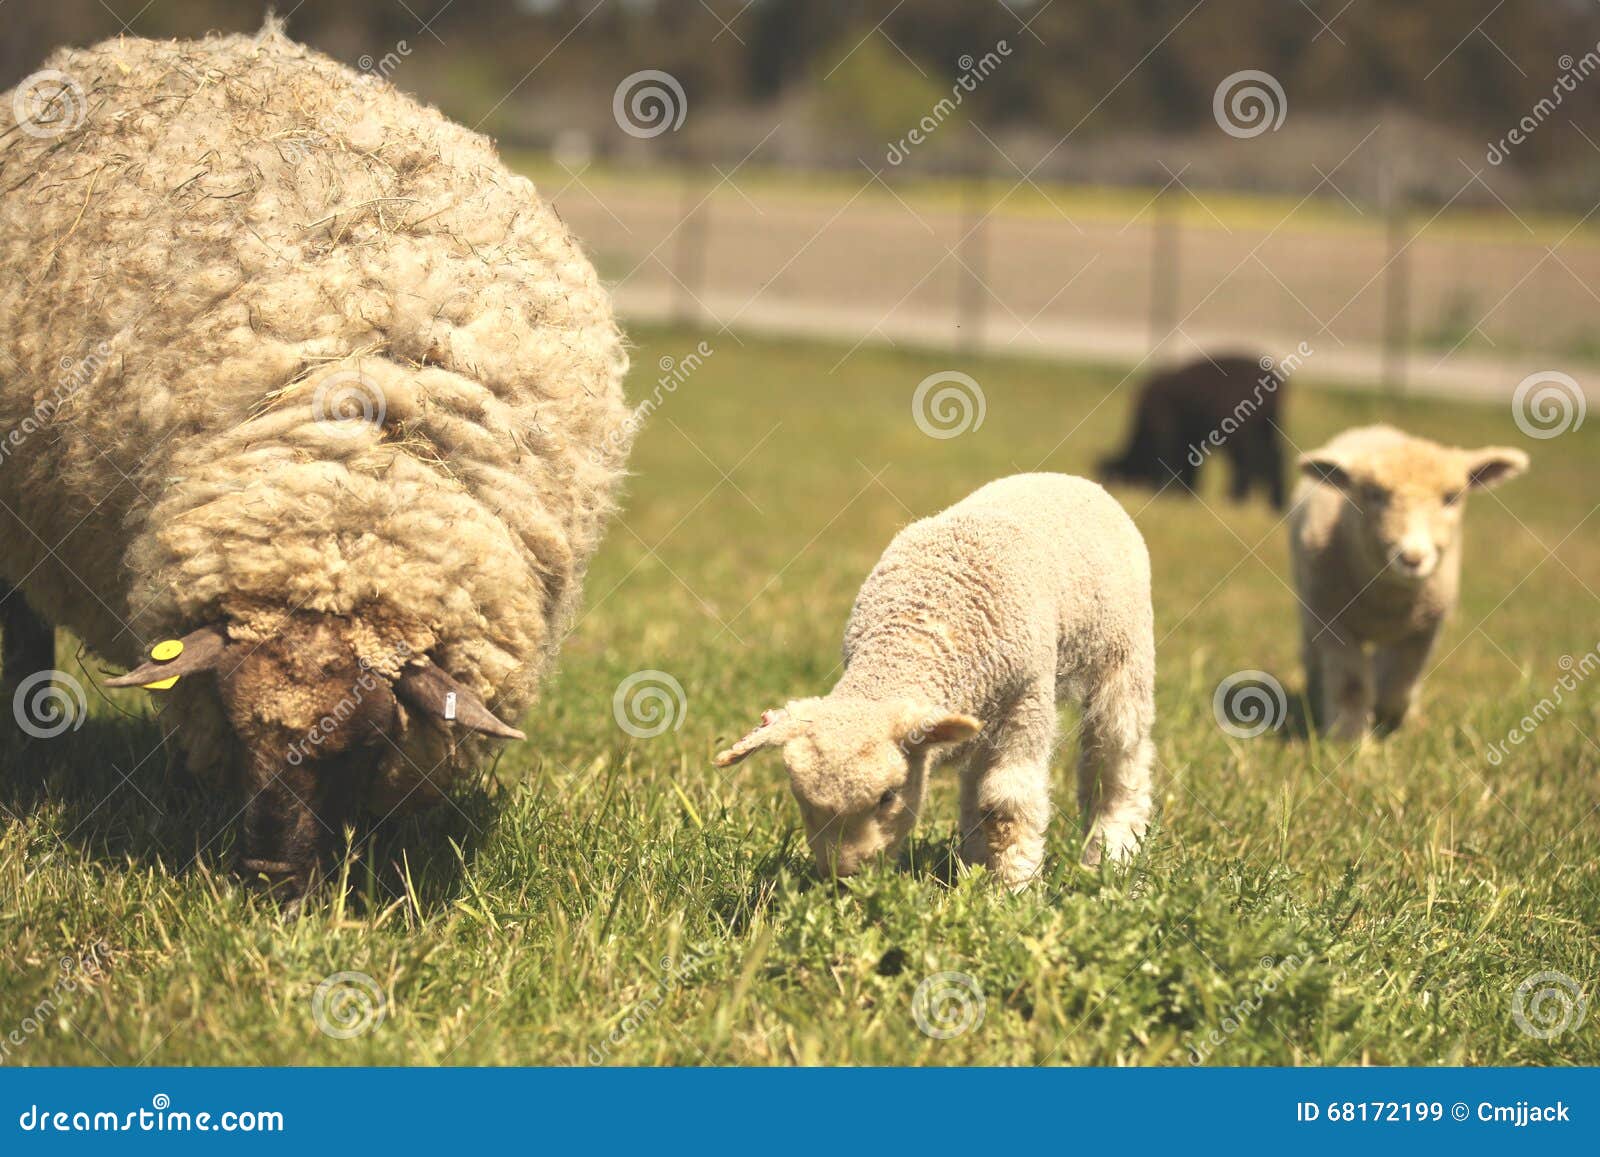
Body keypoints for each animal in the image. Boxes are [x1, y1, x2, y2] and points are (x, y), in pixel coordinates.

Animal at [714, 473, 1156, 889]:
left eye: (888, 797)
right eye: (801, 801)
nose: (844, 877)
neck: (919, 628)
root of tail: (1065, 478)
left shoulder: (1026, 701)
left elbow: (1008, 807)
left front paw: (1014, 889)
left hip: (1125, 654)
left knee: (1116, 759)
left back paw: (1113, 858)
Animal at [1099, 353, 1292, 510]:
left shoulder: (1168, 435)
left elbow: (1173, 461)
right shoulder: (1191, 440)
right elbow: (1191, 467)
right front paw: (1187, 494)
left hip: (1241, 436)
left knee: (1248, 461)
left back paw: (1235, 499)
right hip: (1265, 431)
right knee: (1272, 459)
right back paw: (1275, 504)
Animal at [1290, 425, 1528, 739]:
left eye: (1451, 498)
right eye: (1374, 494)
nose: (1413, 557)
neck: (1387, 597)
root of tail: (1377, 428)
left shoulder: (1425, 627)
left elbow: (1400, 682)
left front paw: (1390, 718)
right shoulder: (1333, 621)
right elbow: (1351, 685)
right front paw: (1347, 738)